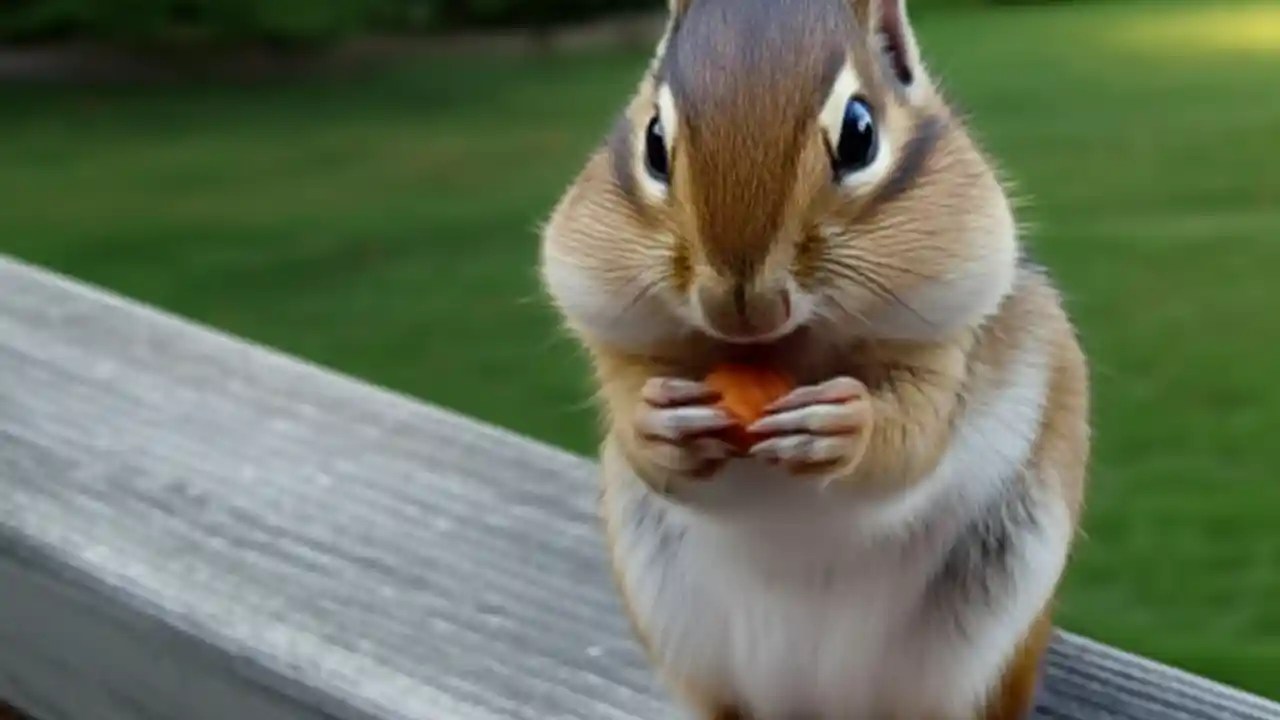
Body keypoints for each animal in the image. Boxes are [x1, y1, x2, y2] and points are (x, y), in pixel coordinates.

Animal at [540, 0, 1090, 718]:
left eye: (859, 133)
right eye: (654, 143)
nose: (740, 303)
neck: (786, 350)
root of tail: (820, 699)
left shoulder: (950, 344)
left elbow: (912, 440)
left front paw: (841, 424)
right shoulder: (616, 338)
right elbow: (640, 423)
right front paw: (659, 421)